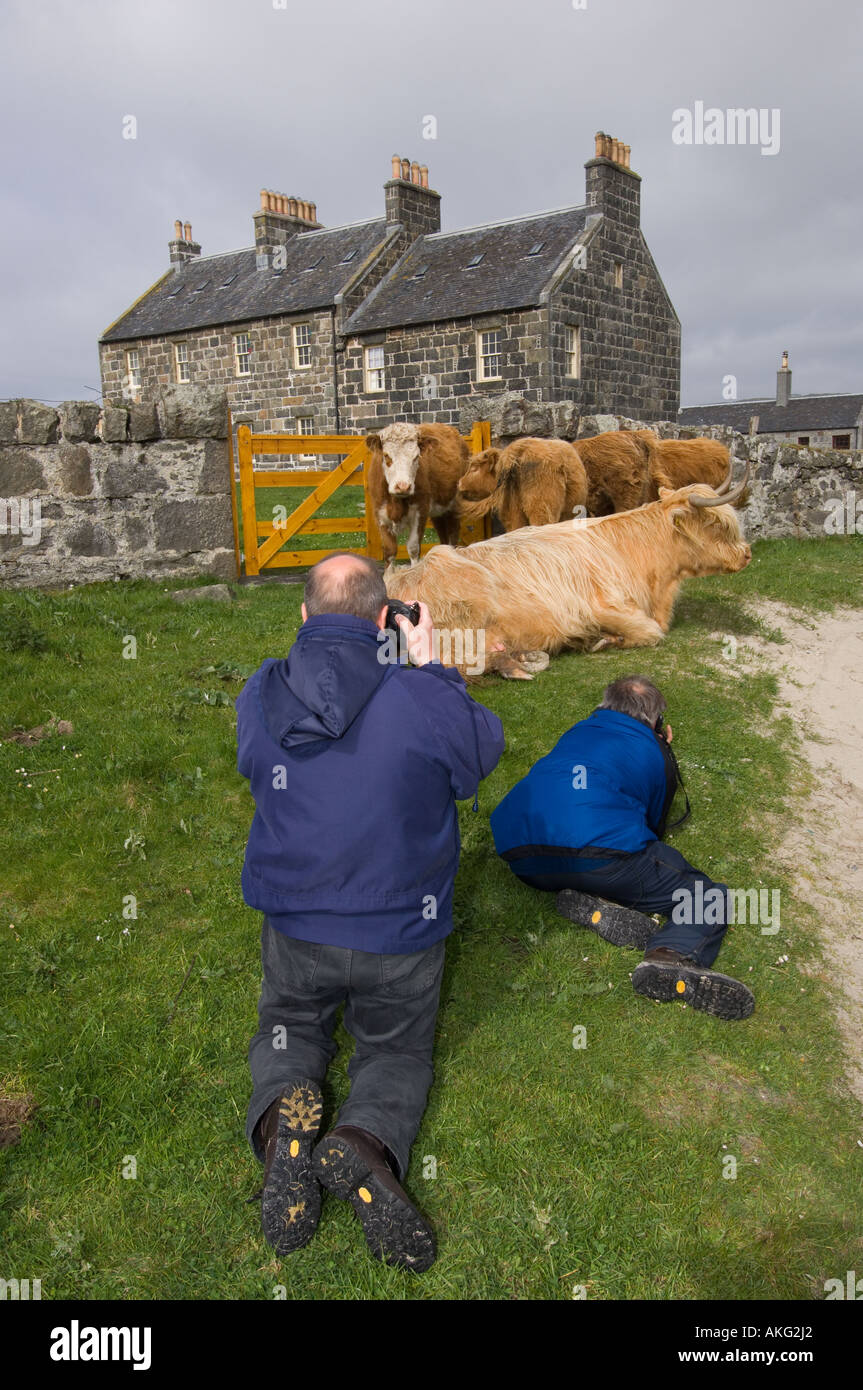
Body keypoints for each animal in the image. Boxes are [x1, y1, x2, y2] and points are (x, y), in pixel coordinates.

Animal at [365, 422, 470, 565]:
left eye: (416, 457)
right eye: (386, 456)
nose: (403, 486)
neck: (396, 502)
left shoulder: (420, 511)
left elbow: (413, 548)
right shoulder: (380, 514)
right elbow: (389, 551)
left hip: (454, 505)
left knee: (453, 533)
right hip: (438, 512)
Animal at [385, 465, 751, 679]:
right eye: (716, 524)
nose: (747, 555)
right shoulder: (601, 608)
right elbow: (651, 633)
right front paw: (602, 640)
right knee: (459, 663)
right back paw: (515, 665)